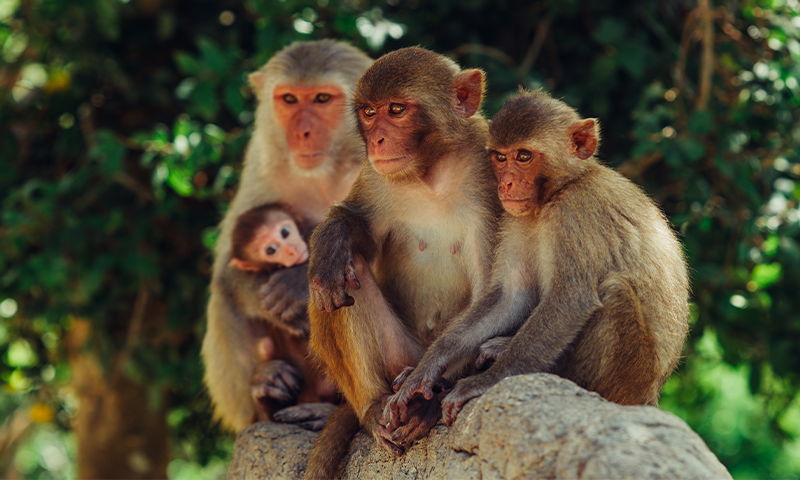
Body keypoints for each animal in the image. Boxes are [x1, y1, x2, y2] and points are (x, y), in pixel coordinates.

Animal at [201, 40, 373, 433]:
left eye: (322, 99)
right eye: (289, 100)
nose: (302, 133)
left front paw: (294, 288)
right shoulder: (263, 162)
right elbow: (229, 267)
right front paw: (276, 295)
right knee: (223, 297)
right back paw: (265, 393)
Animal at [303, 47, 502, 479]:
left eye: (396, 110)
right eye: (368, 112)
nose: (377, 140)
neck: (432, 175)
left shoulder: (493, 180)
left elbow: (496, 296)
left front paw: (431, 403)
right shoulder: (377, 175)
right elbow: (359, 231)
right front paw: (331, 242)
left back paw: (427, 400)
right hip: (398, 358)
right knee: (344, 279)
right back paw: (372, 405)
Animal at [384, 89, 690, 434]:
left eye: (524, 156)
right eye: (500, 157)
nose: (505, 184)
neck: (554, 195)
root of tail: (652, 392)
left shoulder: (575, 212)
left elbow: (570, 299)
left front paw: (483, 382)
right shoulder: (516, 217)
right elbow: (509, 296)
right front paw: (427, 367)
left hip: (632, 375)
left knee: (614, 291)